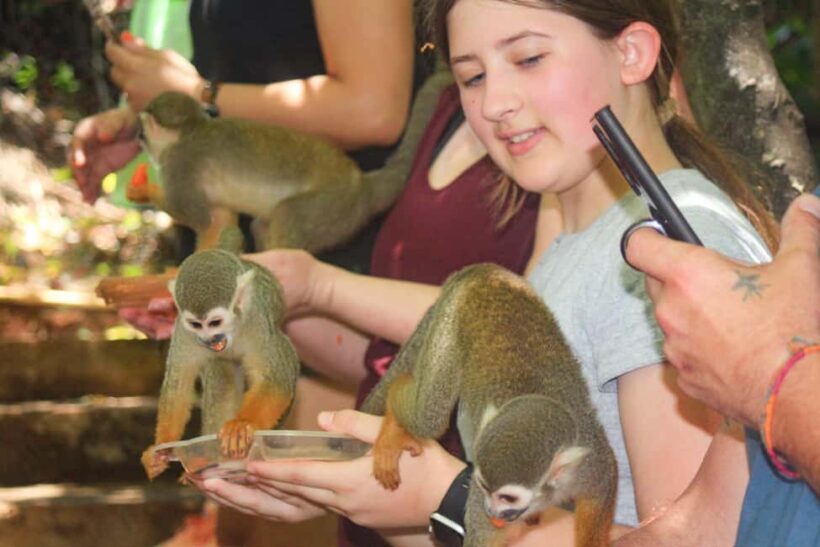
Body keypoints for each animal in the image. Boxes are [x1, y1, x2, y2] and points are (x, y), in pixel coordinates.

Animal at [130, 65, 454, 254]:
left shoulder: (179, 163)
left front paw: (144, 190)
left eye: (143, 132)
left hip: (334, 206)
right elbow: (212, 220)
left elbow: (193, 214)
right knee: (263, 223)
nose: (137, 137)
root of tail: (363, 184)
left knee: (291, 212)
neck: (192, 132)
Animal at [140, 232, 300, 480]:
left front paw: (241, 425)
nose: (209, 339)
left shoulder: (257, 321)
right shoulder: (184, 333)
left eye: (215, 322)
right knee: (221, 373)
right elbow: (177, 386)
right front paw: (161, 449)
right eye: (197, 324)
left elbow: (277, 380)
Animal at [361, 264, 617, 547]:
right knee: (428, 417)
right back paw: (395, 416)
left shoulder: (590, 464)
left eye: (507, 498)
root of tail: (481, 273)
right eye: (484, 487)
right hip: (450, 324)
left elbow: (603, 489)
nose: (491, 511)